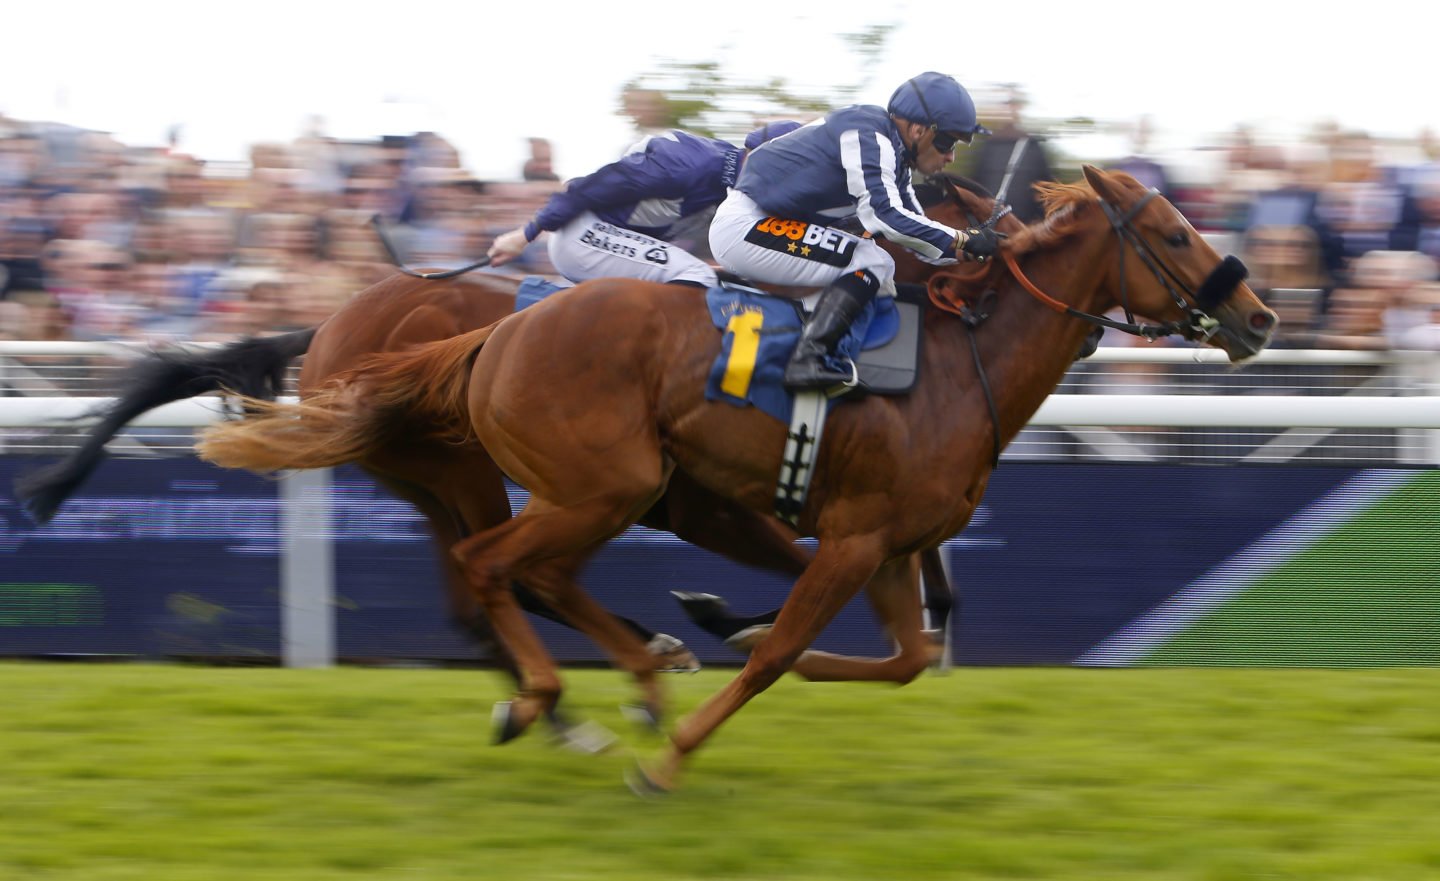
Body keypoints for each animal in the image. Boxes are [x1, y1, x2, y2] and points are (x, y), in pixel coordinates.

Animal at [195, 166, 1277, 790]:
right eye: (1173, 236)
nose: (1262, 315)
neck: (954, 365)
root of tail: (495, 331)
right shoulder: (848, 537)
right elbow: (783, 654)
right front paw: (671, 755)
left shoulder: (882, 543)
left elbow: (899, 656)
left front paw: (724, 631)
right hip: (592, 483)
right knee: (493, 565)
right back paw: (552, 699)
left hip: (572, 488)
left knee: (518, 574)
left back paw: (603, 684)